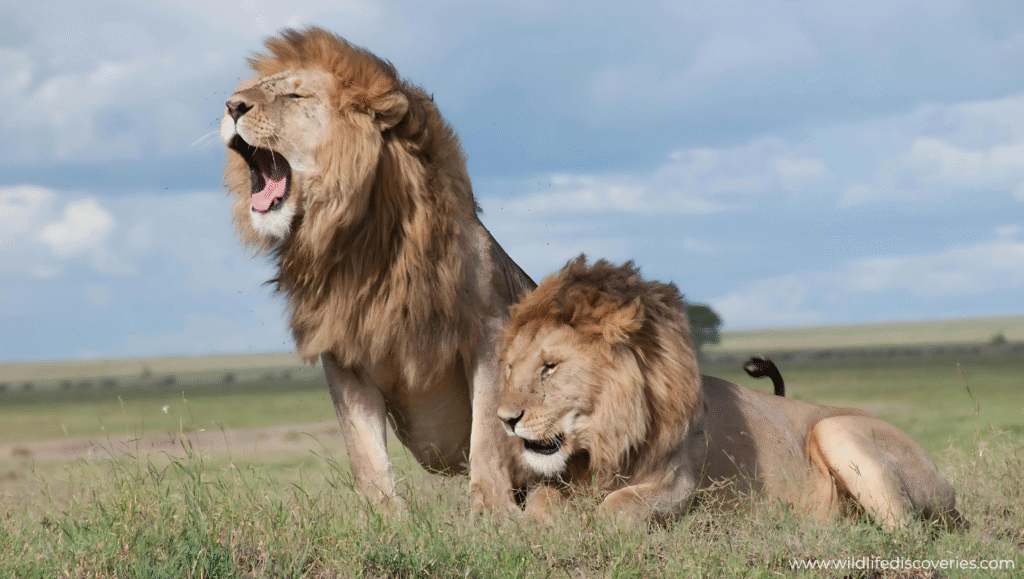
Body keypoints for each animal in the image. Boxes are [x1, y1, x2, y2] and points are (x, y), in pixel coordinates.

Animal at [221, 27, 535, 512]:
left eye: (294, 95)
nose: (232, 105)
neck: (361, 243)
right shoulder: (342, 351)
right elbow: (365, 452)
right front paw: (385, 519)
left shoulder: (489, 331)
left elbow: (487, 433)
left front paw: (491, 513)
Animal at [497, 256, 964, 529]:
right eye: (510, 367)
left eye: (550, 367)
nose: (505, 420)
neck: (603, 439)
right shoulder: (559, 480)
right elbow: (540, 501)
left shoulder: (679, 483)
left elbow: (617, 507)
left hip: (836, 429)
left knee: (906, 532)